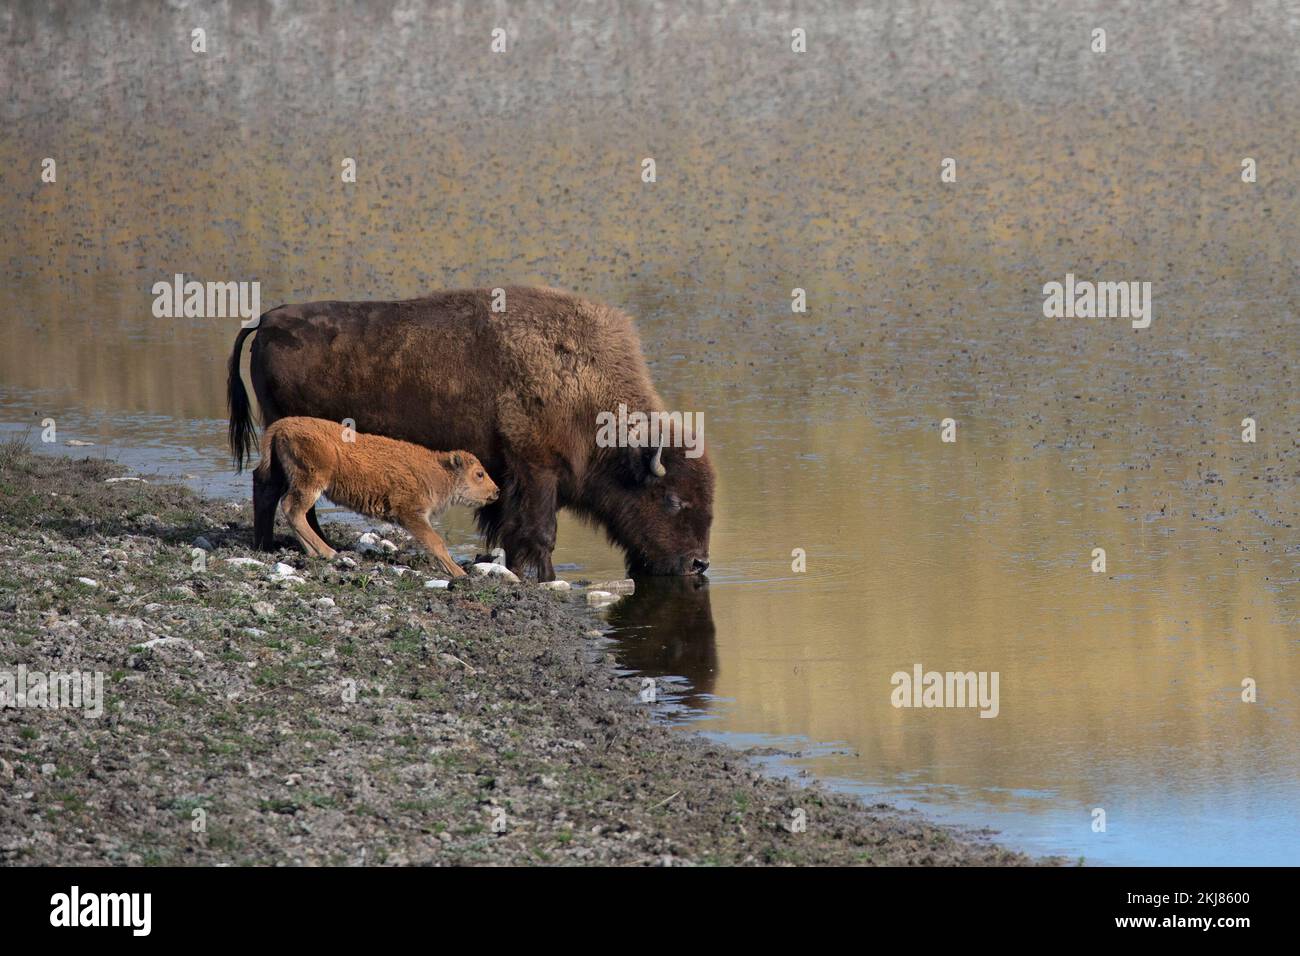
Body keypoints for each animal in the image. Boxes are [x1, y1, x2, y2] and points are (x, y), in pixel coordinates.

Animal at [227, 286, 714, 581]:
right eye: (672, 500)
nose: (699, 563)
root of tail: (268, 318)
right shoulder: (536, 469)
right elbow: (540, 531)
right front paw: (545, 578)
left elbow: (509, 527)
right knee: (280, 491)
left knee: (273, 487)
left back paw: (278, 544)